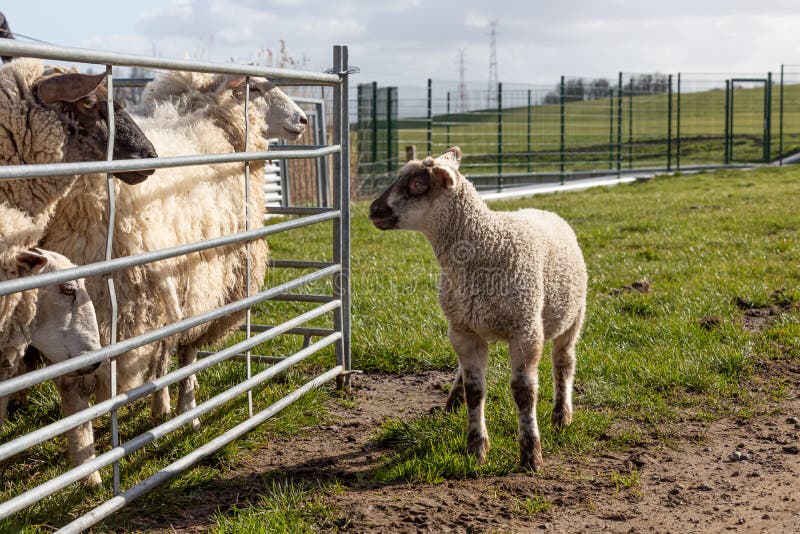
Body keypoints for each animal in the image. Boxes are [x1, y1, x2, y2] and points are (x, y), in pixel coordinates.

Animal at [42, 71, 307, 428]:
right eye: (256, 87)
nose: (303, 119)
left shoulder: (174, 286)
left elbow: (163, 351)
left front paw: (161, 404)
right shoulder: (203, 281)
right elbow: (186, 351)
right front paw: (185, 409)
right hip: (111, 293)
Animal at [368, 147, 588, 470]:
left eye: (418, 185)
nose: (373, 210)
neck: (484, 243)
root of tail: (544, 210)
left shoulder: (525, 330)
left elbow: (524, 393)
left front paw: (531, 454)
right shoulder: (463, 330)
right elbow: (475, 391)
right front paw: (476, 449)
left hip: (573, 317)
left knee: (564, 362)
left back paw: (562, 416)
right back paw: (453, 401)